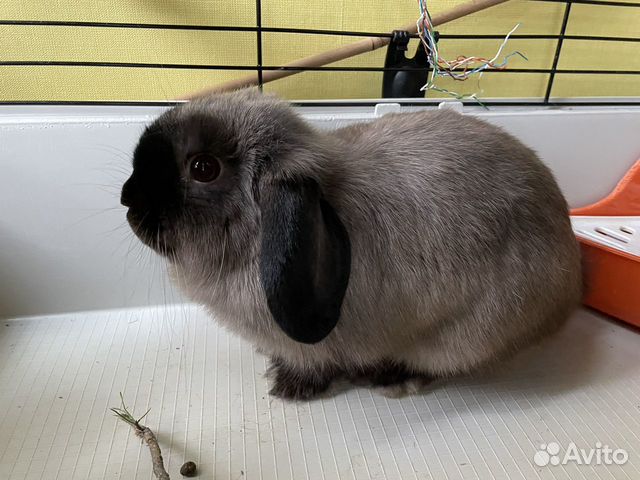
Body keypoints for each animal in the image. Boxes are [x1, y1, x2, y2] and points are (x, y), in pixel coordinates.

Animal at [121, 89, 582, 400]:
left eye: (203, 168)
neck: (253, 244)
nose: (128, 198)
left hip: (465, 335)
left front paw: (288, 387)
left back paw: (392, 377)